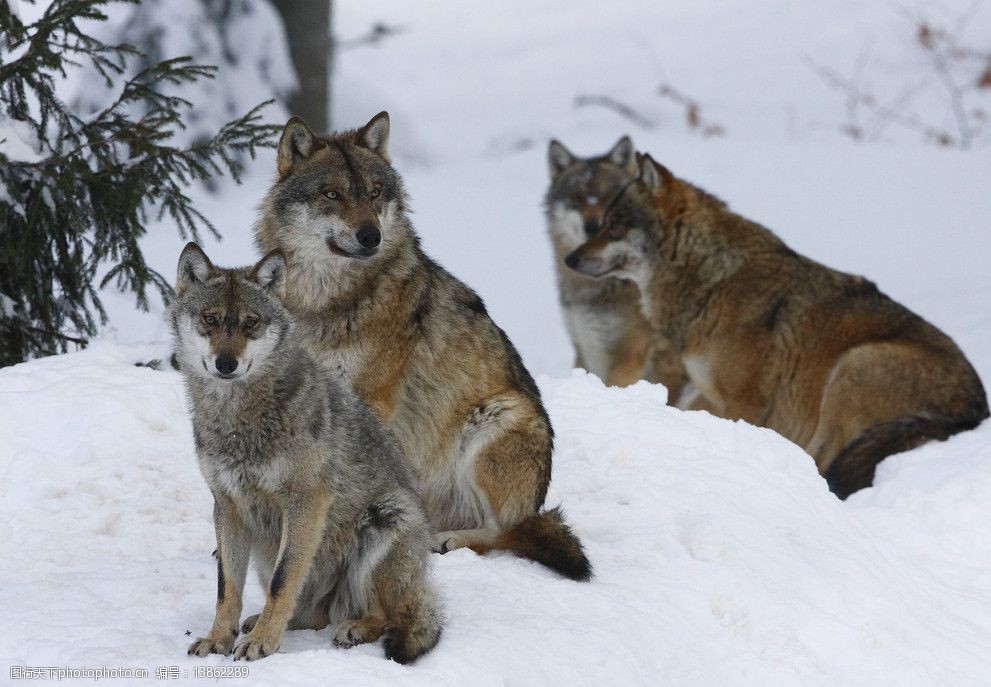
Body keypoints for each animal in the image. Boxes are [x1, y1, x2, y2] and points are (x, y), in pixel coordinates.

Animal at [172, 243, 442, 662]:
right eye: (210, 319)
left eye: (251, 323)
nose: (226, 364)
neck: (239, 420)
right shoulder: (227, 506)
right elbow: (226, 588)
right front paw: (219, 639)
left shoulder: (307, 500)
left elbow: (284, 580)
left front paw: (262, 644)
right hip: (267, 551)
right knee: (312, 616)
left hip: (385, 519)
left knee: (384, 615)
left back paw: (352, 628)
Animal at [255, 113, 591, 581]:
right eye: (331, 194)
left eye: (374, 193)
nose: (371, 236)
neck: (324, 300)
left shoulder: (371, 400)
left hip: (496, 419)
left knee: (508, 533)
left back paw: (446, 540)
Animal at [565, 154, 989, 498]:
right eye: (603, 224)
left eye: (613, 226)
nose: (570, 259)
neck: (714, 279)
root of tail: (976, 411)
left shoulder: (746, 403)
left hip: (852, 369)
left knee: (824, 464)